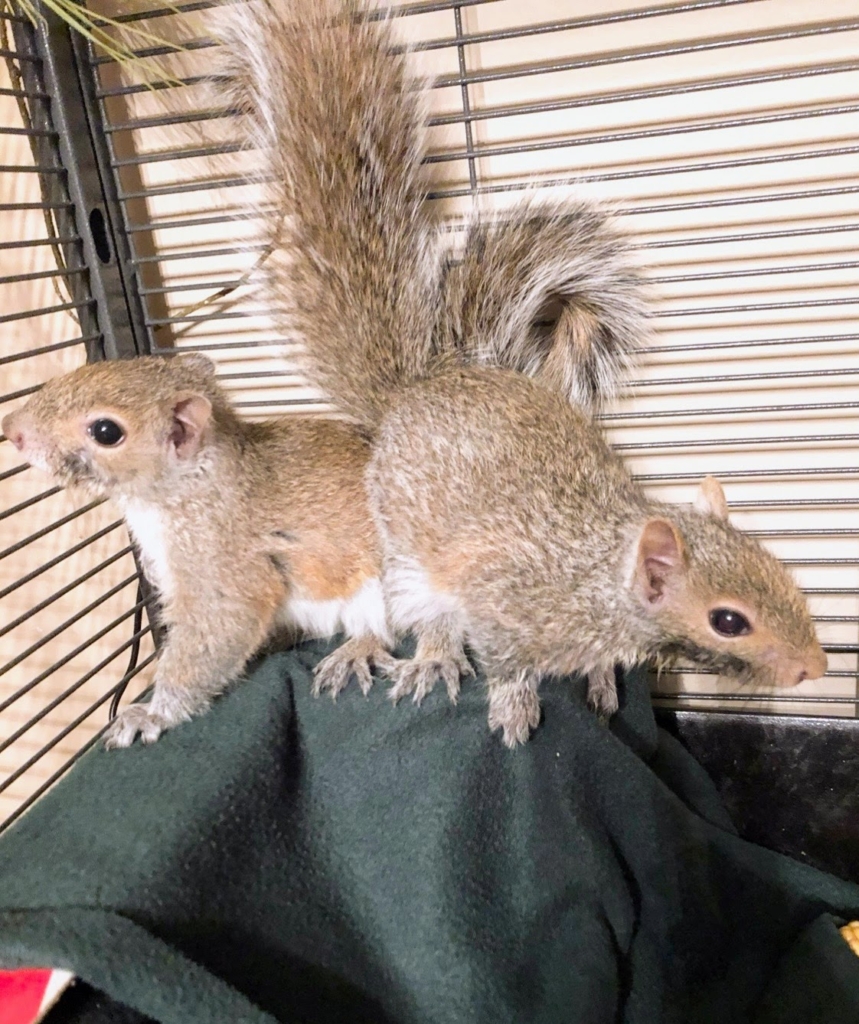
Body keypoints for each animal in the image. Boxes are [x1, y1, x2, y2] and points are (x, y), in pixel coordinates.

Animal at [2, 354, 395, 747]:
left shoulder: (220, 562)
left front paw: (154, 714)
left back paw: (355, 650)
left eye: (106, 431)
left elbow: (214, 633)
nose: (11, 427)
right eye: (86, 370)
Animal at [215, 0, 828, 746]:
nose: (819, 667)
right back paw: (431, 658)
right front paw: (512, 705)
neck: (597, 580)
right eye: (729, 620)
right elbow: (505, 660)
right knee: (424, 617)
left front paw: (601, 686)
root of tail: (420, 388)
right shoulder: (501, 604)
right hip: (406, 560)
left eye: (779, 569)